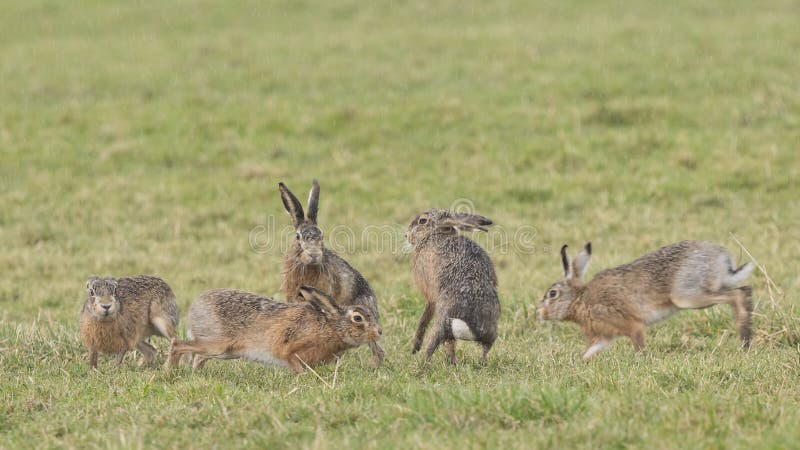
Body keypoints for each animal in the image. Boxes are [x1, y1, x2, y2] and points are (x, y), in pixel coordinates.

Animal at [167, 285, 382, 375]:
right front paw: (304, 379)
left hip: (223, 351)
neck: (331, 327)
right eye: (357, 318)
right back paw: (170, 370)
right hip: (217, 345)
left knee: (197, 358)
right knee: (178, 344)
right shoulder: (288, 348)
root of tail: (195, 308)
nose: (379, 332)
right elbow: (293, 363)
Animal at [406, 209, 500, 364]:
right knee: (484, 348)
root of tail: (470, 326)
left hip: (442, 321)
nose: (407, 235)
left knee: (433, 345)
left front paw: (415, 347)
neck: (435, 235)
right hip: (491, 330)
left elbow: (425, 316)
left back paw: (426, 365)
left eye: (422, 221)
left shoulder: (430, 294)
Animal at [538, 241, 754, 359]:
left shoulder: (632, 325)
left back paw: (744, 342)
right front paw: (578, 363)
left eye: (552, 294)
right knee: (744, 290)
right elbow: (590, 352)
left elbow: (639, 345)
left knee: (736, 296)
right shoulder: (604, 336)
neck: (580, 300)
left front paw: (642, 361)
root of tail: (722, 258)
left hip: (687, 295)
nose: (539, 313)